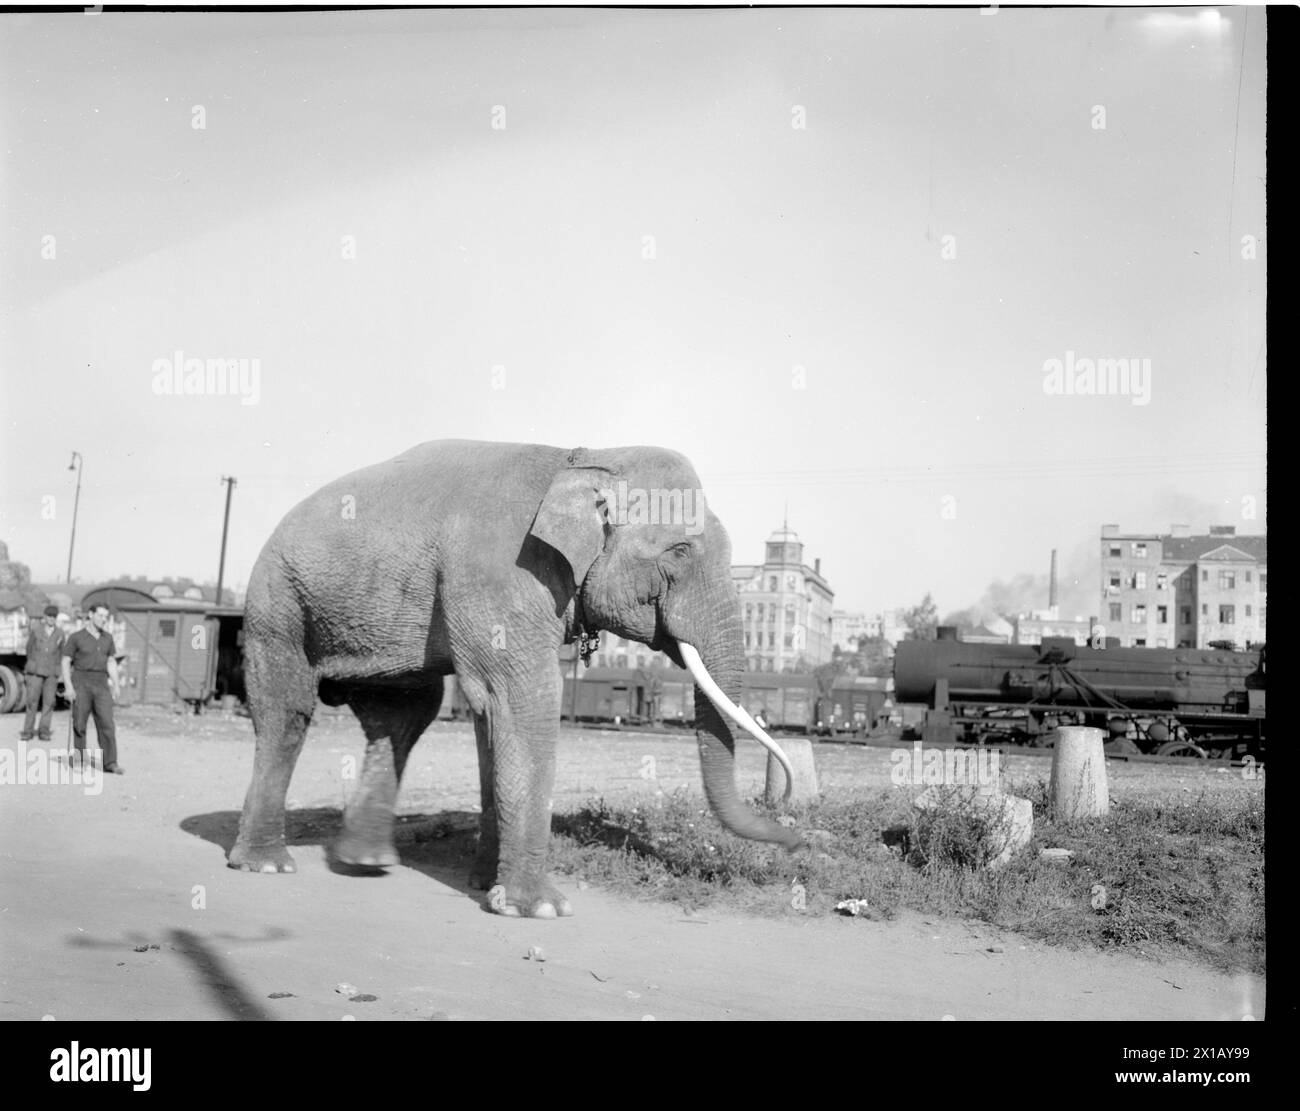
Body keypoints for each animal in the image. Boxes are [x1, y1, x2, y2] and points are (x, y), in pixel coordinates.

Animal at [228, 440, 802, 917]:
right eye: (680, 552)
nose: (797, 838)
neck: (583, 458)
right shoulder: (502, 572)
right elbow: (520, 699)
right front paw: (542, 909)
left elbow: (490, 711)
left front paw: (487, 888)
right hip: (277, 600)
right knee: (287, 710)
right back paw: (267, 864)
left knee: (401, 716)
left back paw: (366, 862)